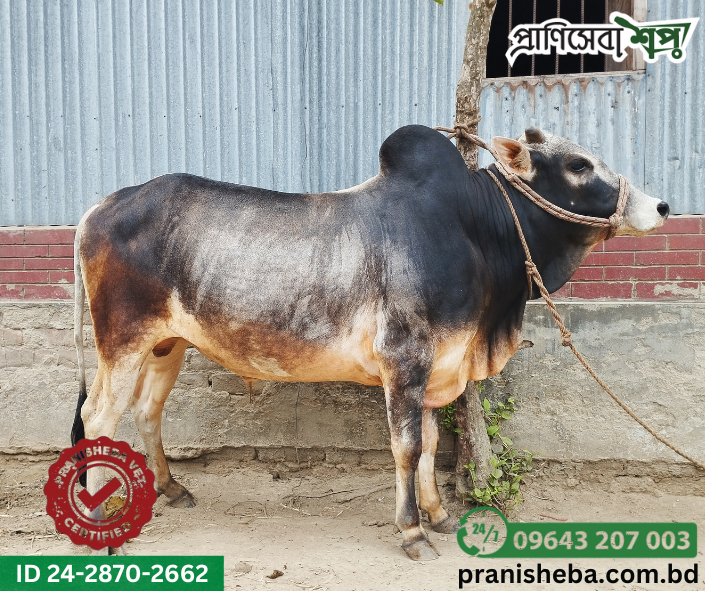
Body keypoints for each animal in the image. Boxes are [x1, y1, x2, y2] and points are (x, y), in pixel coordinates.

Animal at [70, 125, 668, 560]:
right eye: (579, 164)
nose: (660, 206)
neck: (475, 231)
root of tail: (101, 206)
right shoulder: (406, 360)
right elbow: (406, 447)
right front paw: (412, 532)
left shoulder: (436, 365)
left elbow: (430, 443)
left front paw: (439, 515)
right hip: (122, 340)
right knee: (99, 417)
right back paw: (101, 521)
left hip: (167, 343)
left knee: (147, 410)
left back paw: (171, 488)